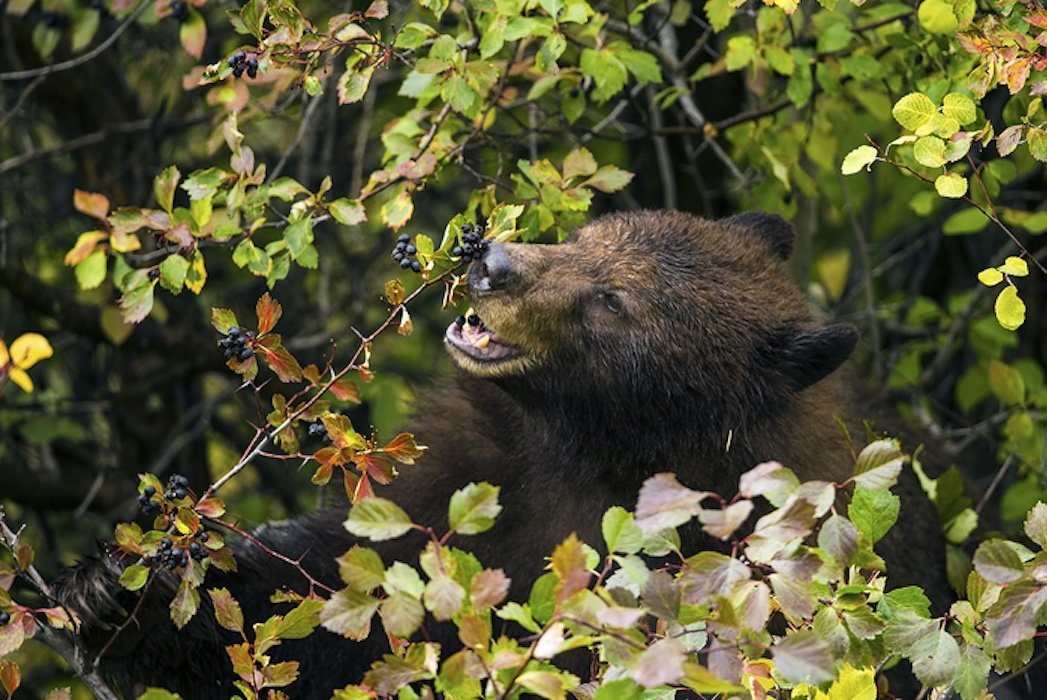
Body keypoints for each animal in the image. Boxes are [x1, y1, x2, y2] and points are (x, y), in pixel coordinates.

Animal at [61, 211, 954, 698]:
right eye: (590, 233)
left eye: (613, 300)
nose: (490, 260)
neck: (602, 453)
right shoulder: (479, 474)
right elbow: (328, 598)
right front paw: (118, 590)